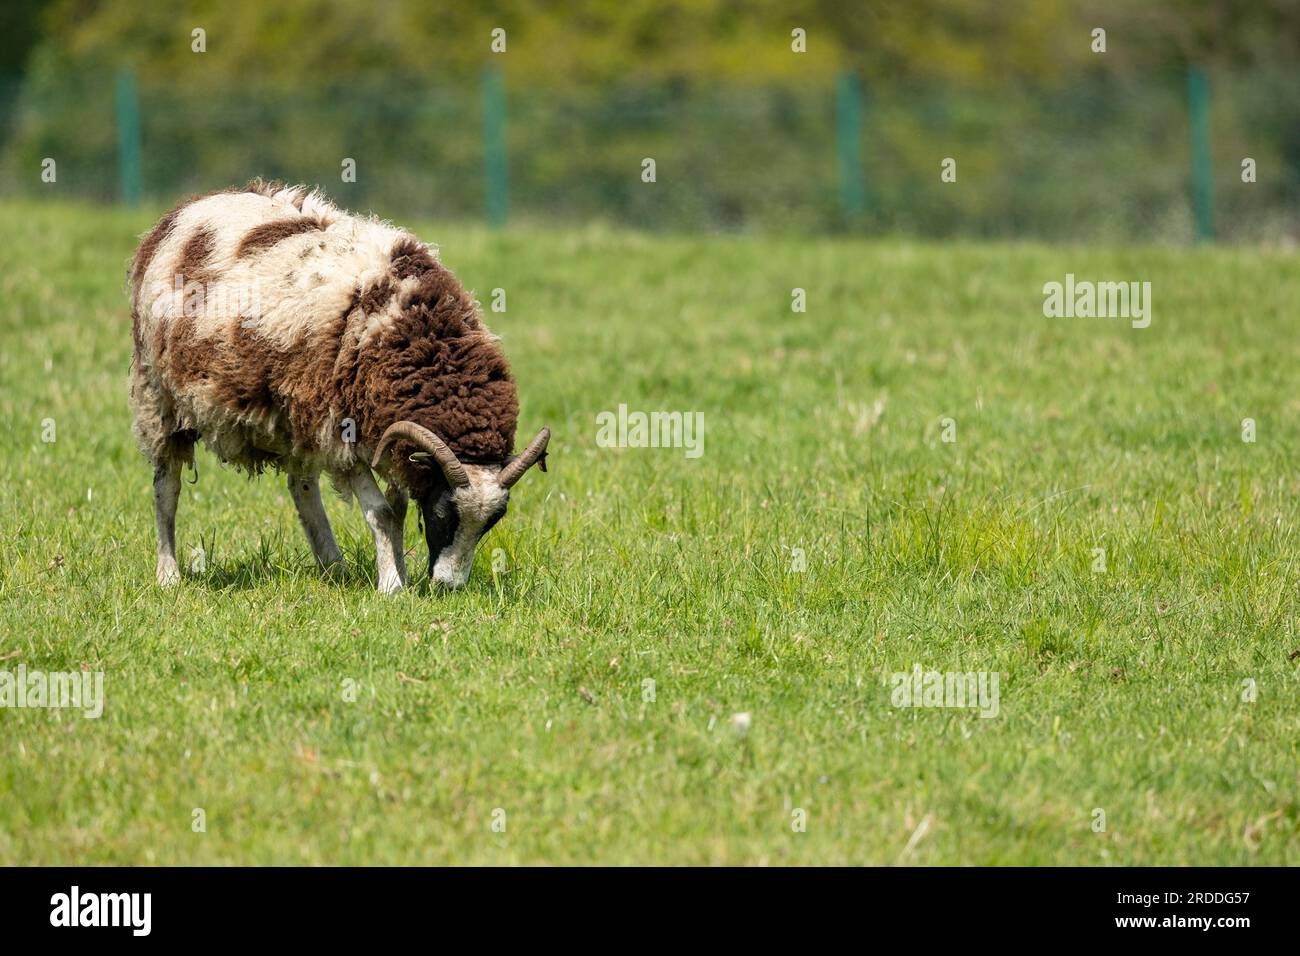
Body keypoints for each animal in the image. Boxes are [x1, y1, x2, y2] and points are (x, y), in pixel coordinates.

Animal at [127, 179, 550, 593]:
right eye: (443, 512)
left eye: (493, 521)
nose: (450, 586)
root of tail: (189, 207)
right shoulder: (343, 433)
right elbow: (382, 512)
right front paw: (392, 587)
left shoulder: (381, 433)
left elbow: (397, 509)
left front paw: (399, 574)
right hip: (159, 398)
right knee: (166, 487)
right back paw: (168, 575)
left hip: (295, 413)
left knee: (301, 487)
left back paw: (333, 566)